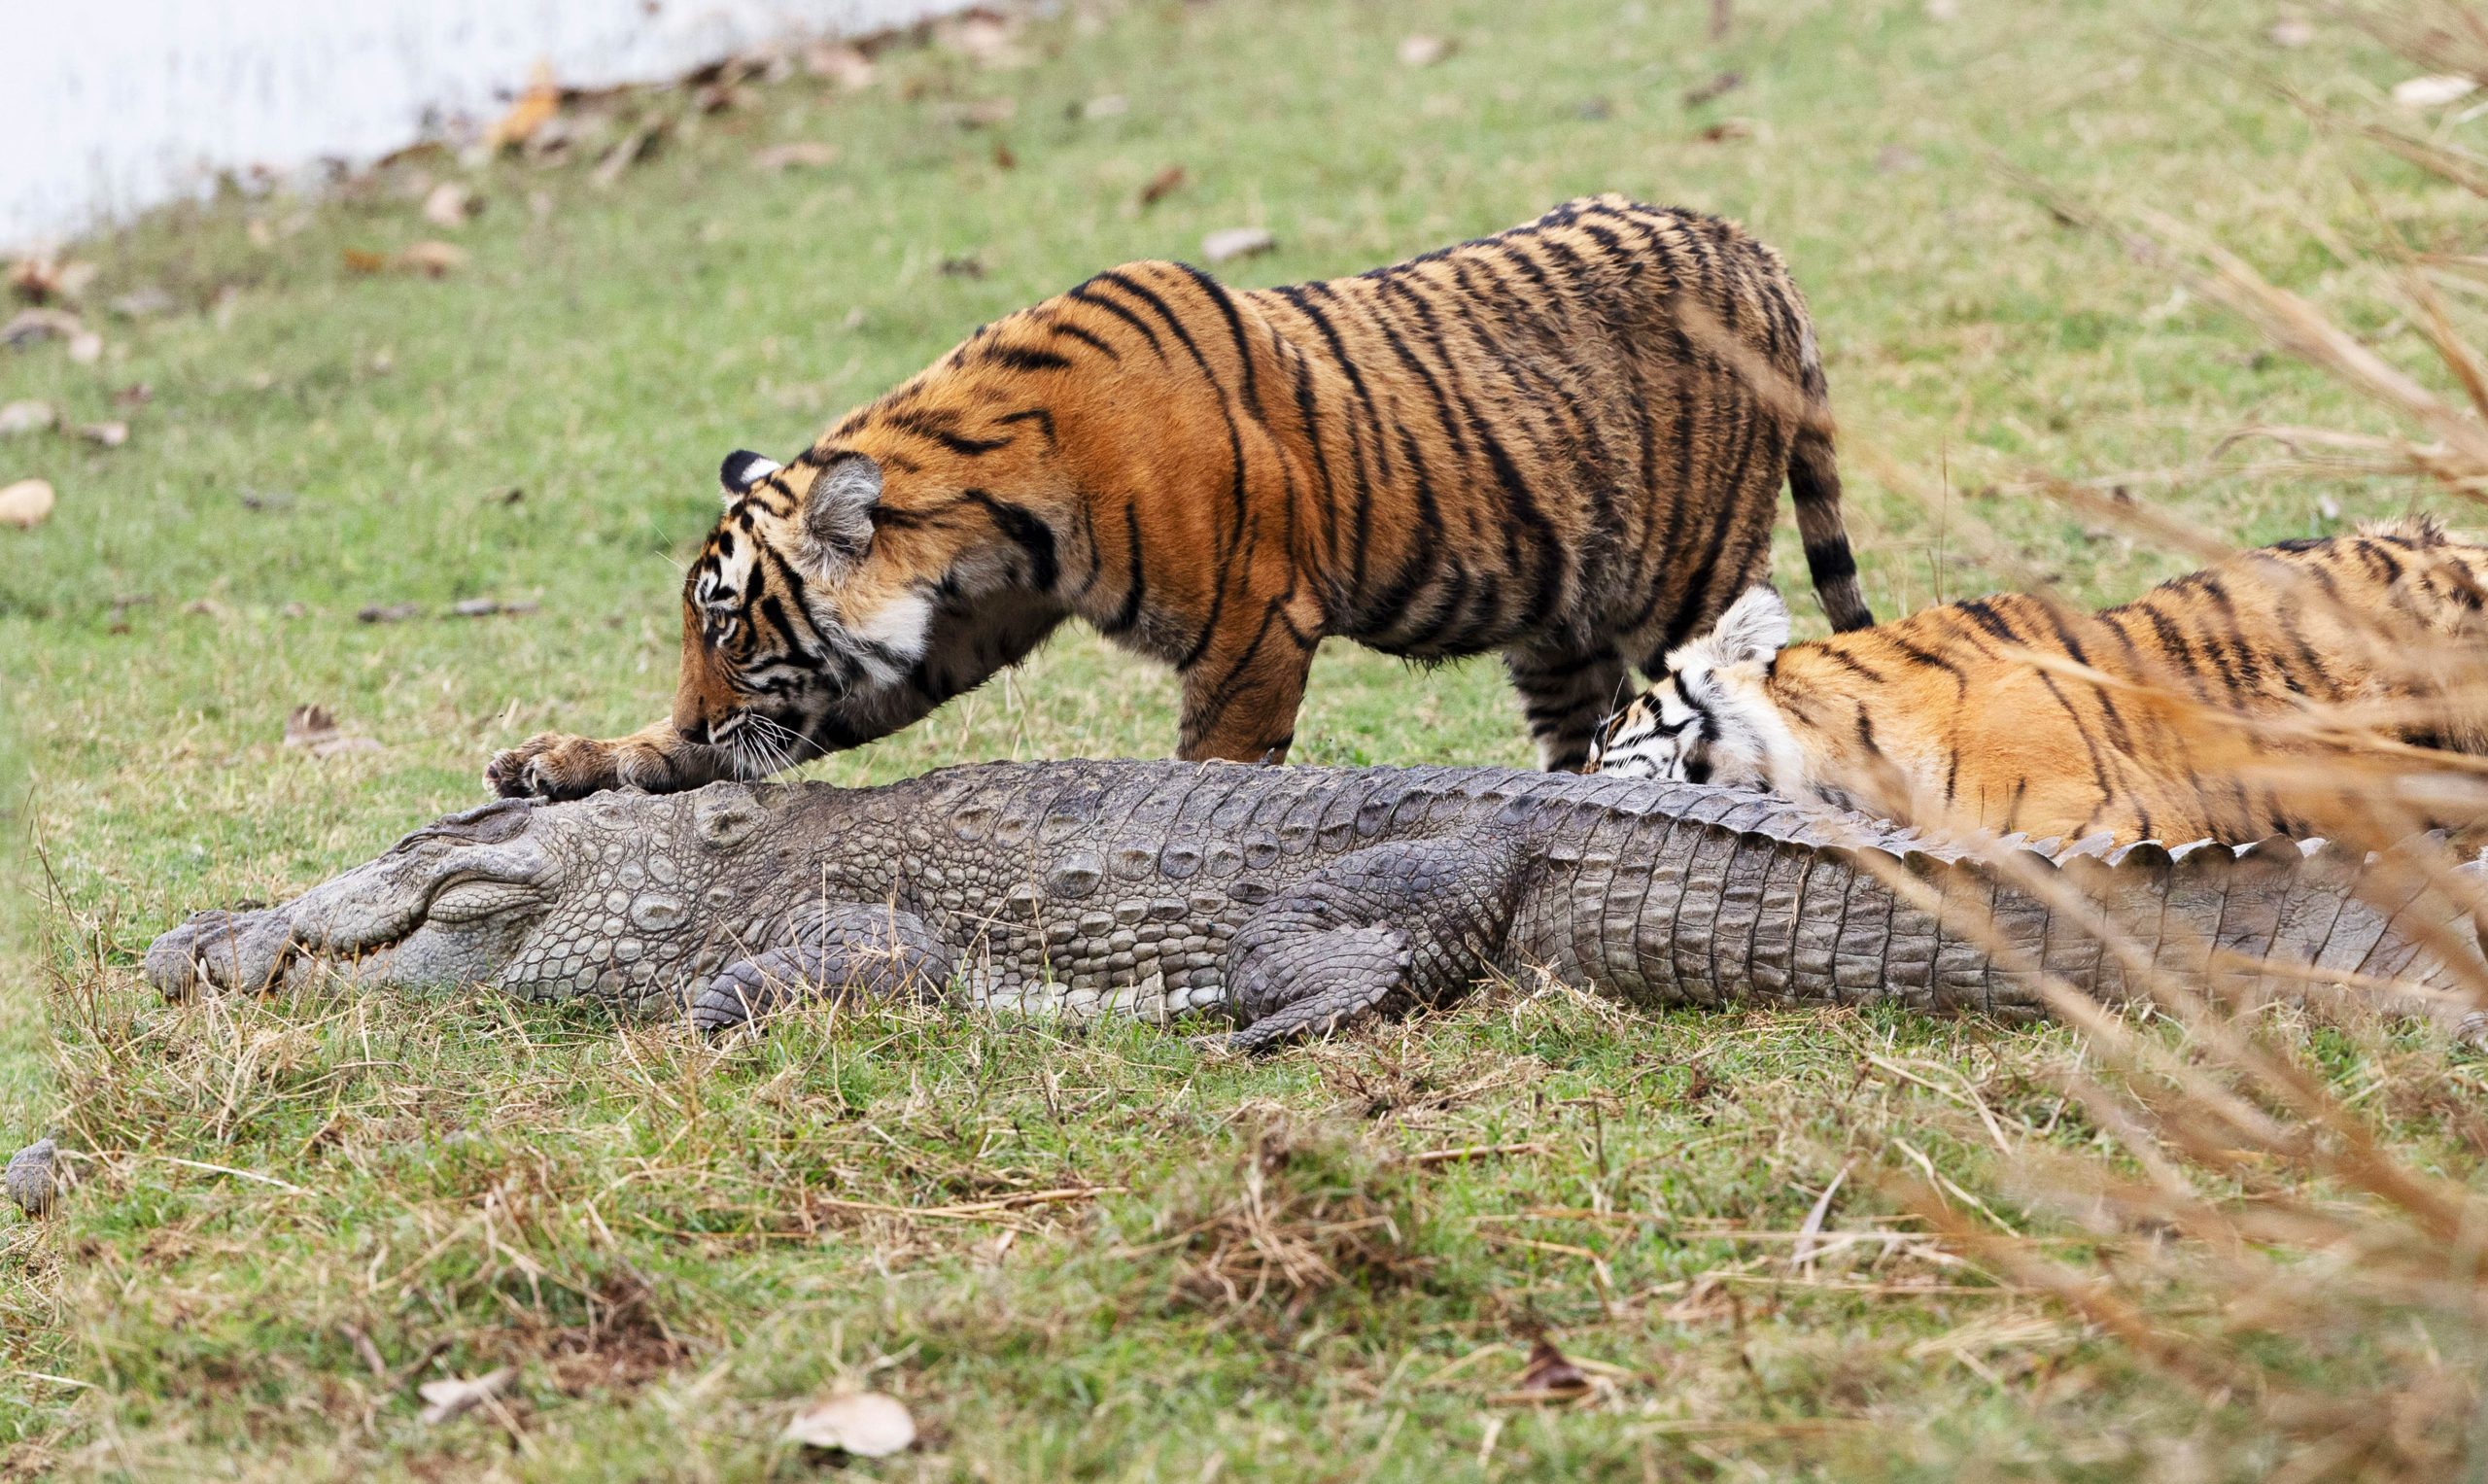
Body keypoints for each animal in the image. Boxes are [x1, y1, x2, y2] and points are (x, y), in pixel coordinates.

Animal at [486, 194, 1874, 802]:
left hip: (1687, 577)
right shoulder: (944, 640)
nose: (701, 712)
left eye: (728, 630)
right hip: (1557, 620)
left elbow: (1214, 764)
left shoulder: (1254, 629)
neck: (978, 520)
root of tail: (1752, 244)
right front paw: (567, 757)